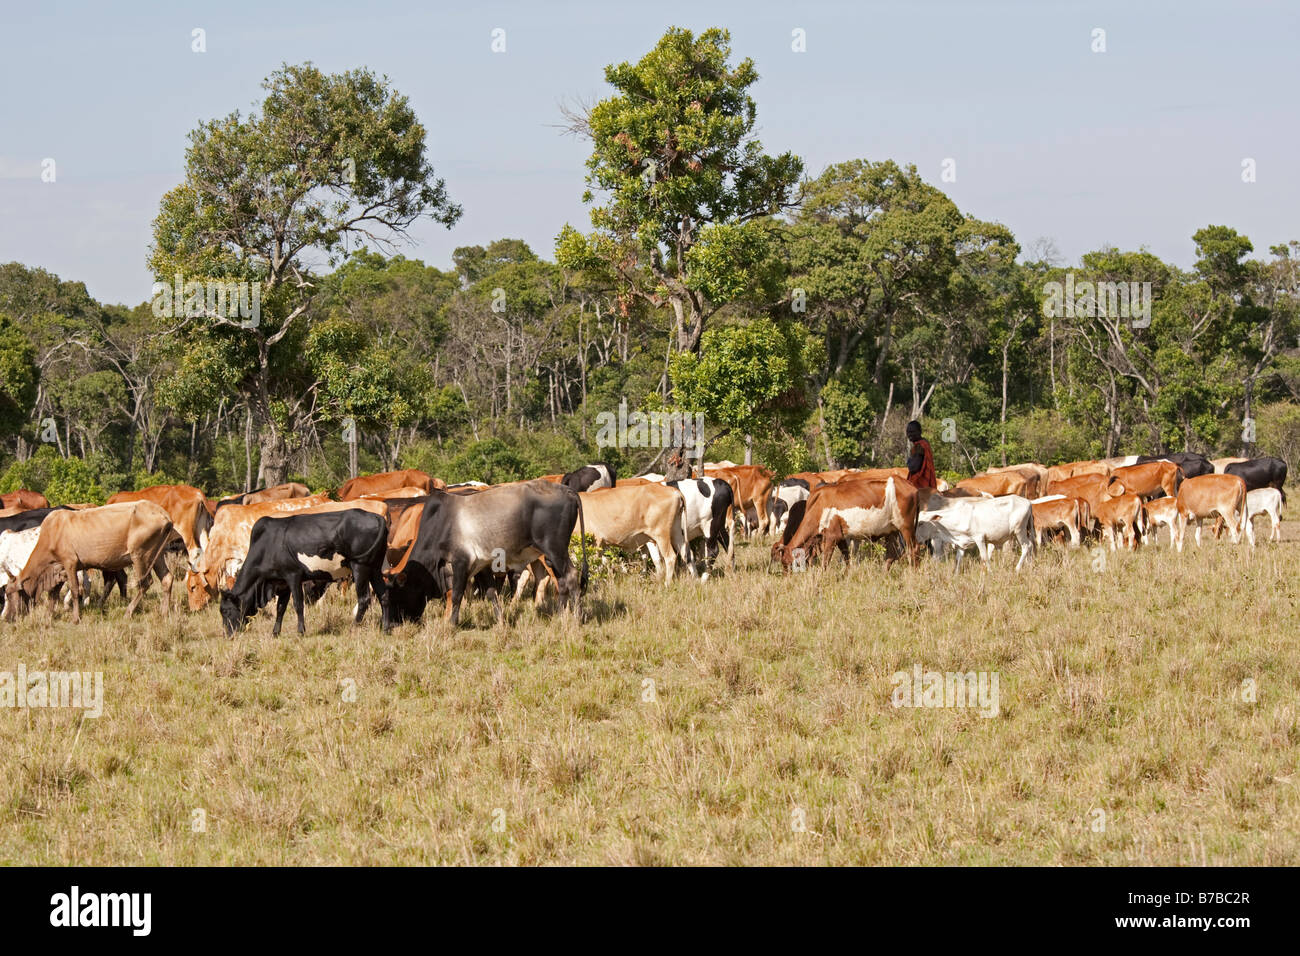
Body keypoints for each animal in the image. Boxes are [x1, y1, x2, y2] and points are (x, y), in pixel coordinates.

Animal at [13, 501, 174, 623]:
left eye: (14, 593)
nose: (10, 618)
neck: (52, 532)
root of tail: (164, 515)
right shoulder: (59, 570)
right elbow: (54, 592)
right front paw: (49, 615)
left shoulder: (70, 562)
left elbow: (74, 589)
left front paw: (75, 618)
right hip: (157, 555)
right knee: (167, 579)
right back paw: (164, 613)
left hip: (140, 555)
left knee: (145, 582)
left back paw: (128, 612)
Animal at [220, 509, 391, 637]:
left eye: (225, 611)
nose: (228, 635)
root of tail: (377, 517)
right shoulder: (282, 582)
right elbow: (281, 608)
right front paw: (275, 633)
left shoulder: (293, 576)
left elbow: (298, 605)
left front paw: (300, 632)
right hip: (374, 568)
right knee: (383, 595)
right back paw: (386, 629)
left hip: (360, 567)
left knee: (364, 599)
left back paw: (353, 628)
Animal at [385, 481, 587, 626]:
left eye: (397, 595)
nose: (398, 622)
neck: (441, 523)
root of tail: (567, 490)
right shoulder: (481, 565)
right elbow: (491, 593)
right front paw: (501, 622)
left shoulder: (461, 562)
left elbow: (456, 595)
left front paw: (452, 624)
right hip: (551, 556)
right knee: (561, 581)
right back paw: (560, 616)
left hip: (555, 550)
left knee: (571, 576)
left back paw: (577, 618)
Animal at [774, 477, 919, 571]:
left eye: (787, 564)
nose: (787, 578)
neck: (818, 505)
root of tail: (909, 484)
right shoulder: (841, 538)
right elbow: (847, 558)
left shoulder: (831, 537)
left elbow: (825, 562)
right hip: (892, 531)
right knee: (891, 553)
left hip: (906, 528)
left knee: (913, 550)